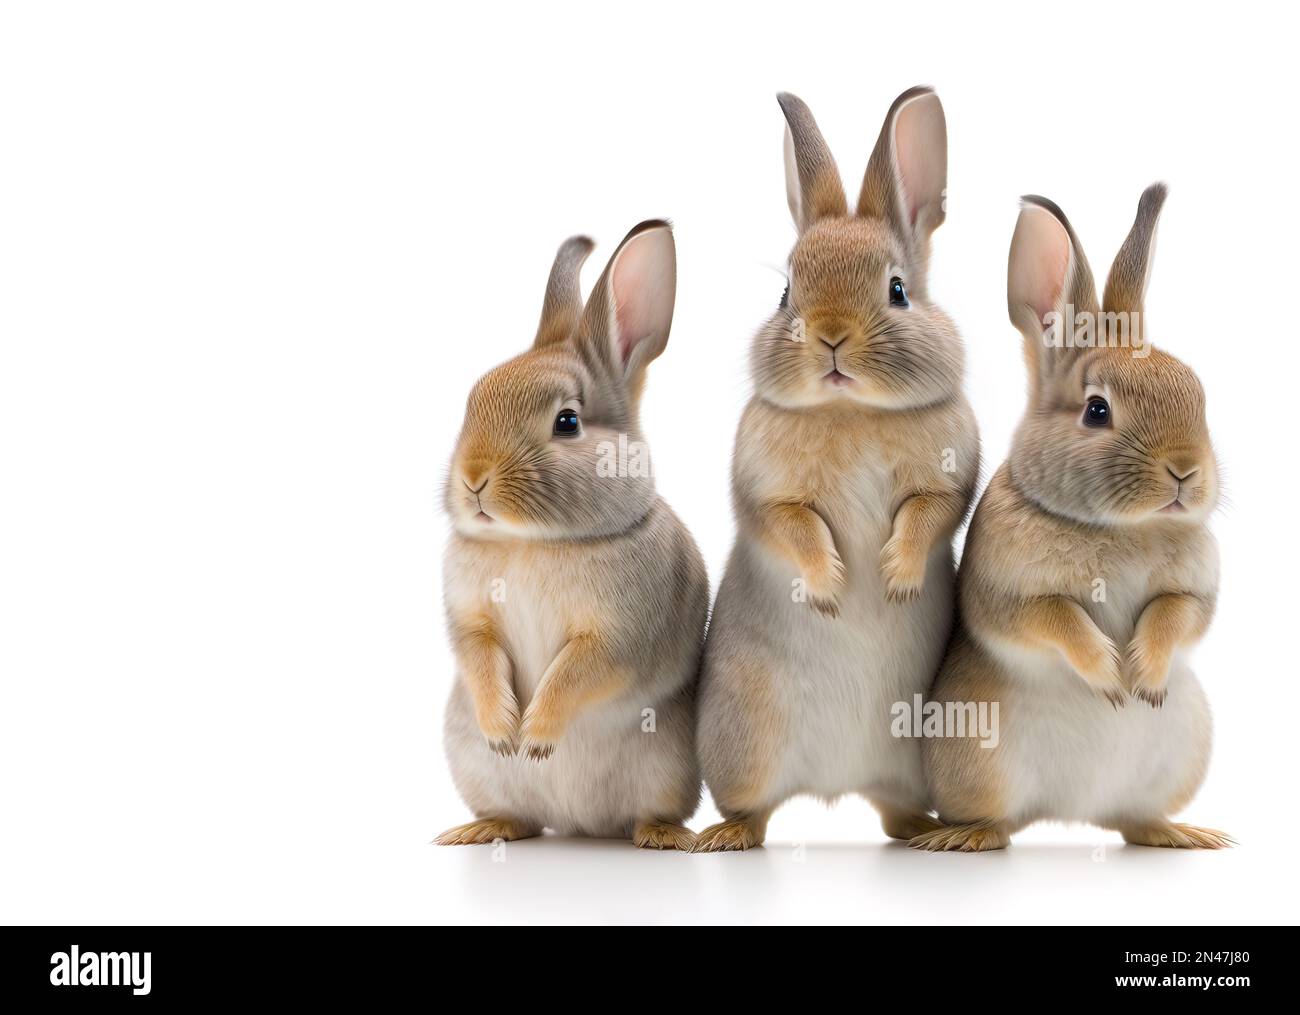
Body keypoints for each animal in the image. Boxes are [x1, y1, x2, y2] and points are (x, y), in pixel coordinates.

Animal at [434, 220, 709, 850]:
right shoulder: (471, 618)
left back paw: (665, 837)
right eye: (473, 399)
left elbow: (575, 673)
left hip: (665, 769)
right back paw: (478, 829)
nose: (474, 478)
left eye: (567, 422)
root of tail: (580, 823)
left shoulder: (617, 635)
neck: (532, 543)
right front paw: (505, 732)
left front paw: (535, 738)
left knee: (648, 813)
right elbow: (479, 657)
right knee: (517, 816)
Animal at [693, 87, 979, 851]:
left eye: (898, 289)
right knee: (754, 808)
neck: (852, 410)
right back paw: (724, 836)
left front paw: (897, 578)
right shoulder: (767, 494)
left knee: (887, 807)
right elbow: (793, 526)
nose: (830, 337)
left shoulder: (946, 480)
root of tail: (831, 787)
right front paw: (828, 589)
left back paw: (923, 830)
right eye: (786, 294)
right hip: (746, 747)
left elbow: (927, 514)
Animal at [911, 185, 1232, 851]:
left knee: (1134, 820)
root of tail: (1069, 811)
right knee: (996, 821)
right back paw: (965, 837)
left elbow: (1175, 615)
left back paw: (1183, 833)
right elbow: (1055, 619)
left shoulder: (1194, 591)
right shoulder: (1012, 595)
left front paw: (1143, 676)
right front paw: (1110, 677)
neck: (1123, 529)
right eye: (1096, 410)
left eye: (1197, 393)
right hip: (978, 756)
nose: (1186, 472)